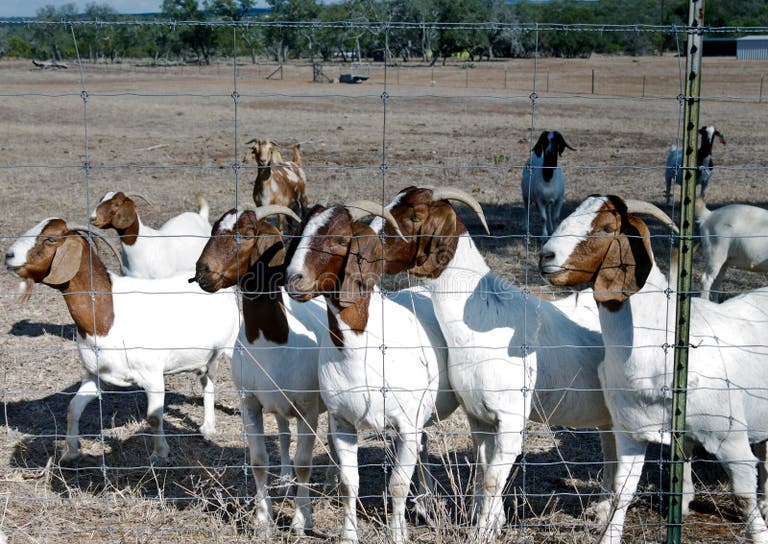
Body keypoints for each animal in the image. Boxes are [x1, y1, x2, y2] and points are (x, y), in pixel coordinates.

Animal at [5, 218, 240, 465]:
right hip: (207, 355)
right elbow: (73, 408)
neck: (108, 314)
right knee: (208, 381)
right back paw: (208, 427)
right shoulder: (95, 375)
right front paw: (70, 453)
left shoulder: (153, 376)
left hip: (233, 343)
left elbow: (154, 418)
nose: (9, 255)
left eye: (50, 238)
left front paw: (160, 455)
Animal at [191, 204, 334, 535]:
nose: (202, 271)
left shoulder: (308, 409)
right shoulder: (250, 402)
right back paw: (283, 480)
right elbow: (258, 459)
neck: (273, 340)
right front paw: (263, 521)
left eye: (245, 234)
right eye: (214, 228)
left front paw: (301, 521)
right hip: (279, 404)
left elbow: (304, 462)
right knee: (283, 435)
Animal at [284, 202, 459, 544]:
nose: (293, 279)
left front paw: (398, 536)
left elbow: (397, 484)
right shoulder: (342, 423)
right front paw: (348, 536)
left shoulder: (405, 423)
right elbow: (349, 482)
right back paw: (426, 504)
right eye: (301, 233)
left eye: (341, 240)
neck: (361, 351)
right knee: (423, 447)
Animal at [371, 186, 608, 538]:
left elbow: (494, 477)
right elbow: (485, 468)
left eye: (414, 215)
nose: (366, 245)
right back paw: (604, 509)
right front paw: (493, 522)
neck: (483, 315)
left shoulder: (511, 419)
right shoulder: (477, 415)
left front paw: (482, 532)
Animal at [540, 194, 768, 544]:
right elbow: (622, 491)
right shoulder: (630, 431)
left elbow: (743, 498)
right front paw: (608, 536)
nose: (545, 257)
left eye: (606, 228)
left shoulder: (730, 438)